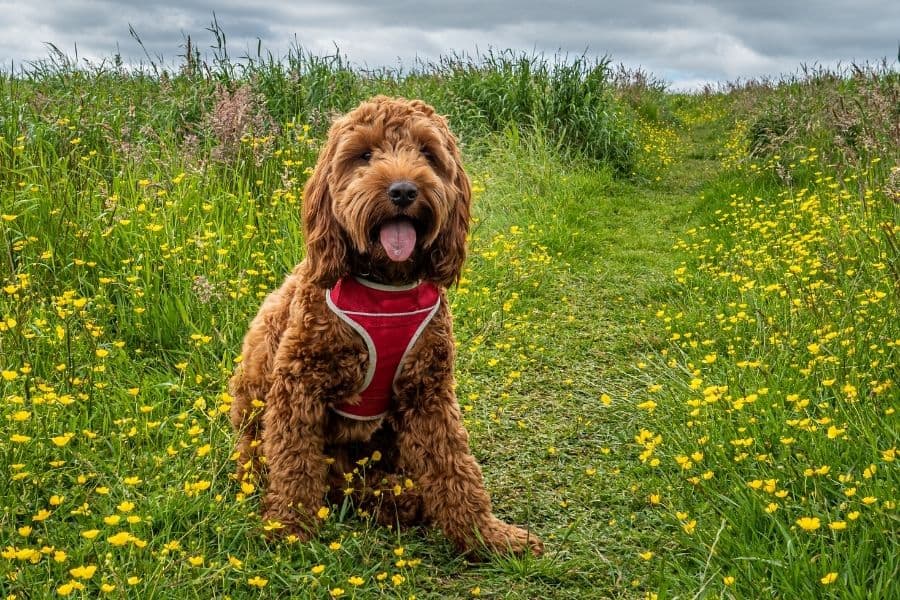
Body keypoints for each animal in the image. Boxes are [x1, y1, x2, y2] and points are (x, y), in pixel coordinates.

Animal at [230, 96, 540, 556]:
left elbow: (456, 467)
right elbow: (294, 465)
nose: (404, 191)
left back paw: (398, 499)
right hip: (254, 408)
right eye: (364, 155)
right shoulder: (297, 386)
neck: (386, 285)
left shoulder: (428, 390)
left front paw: (486, 535)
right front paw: (288, 528)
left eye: (427, 153)